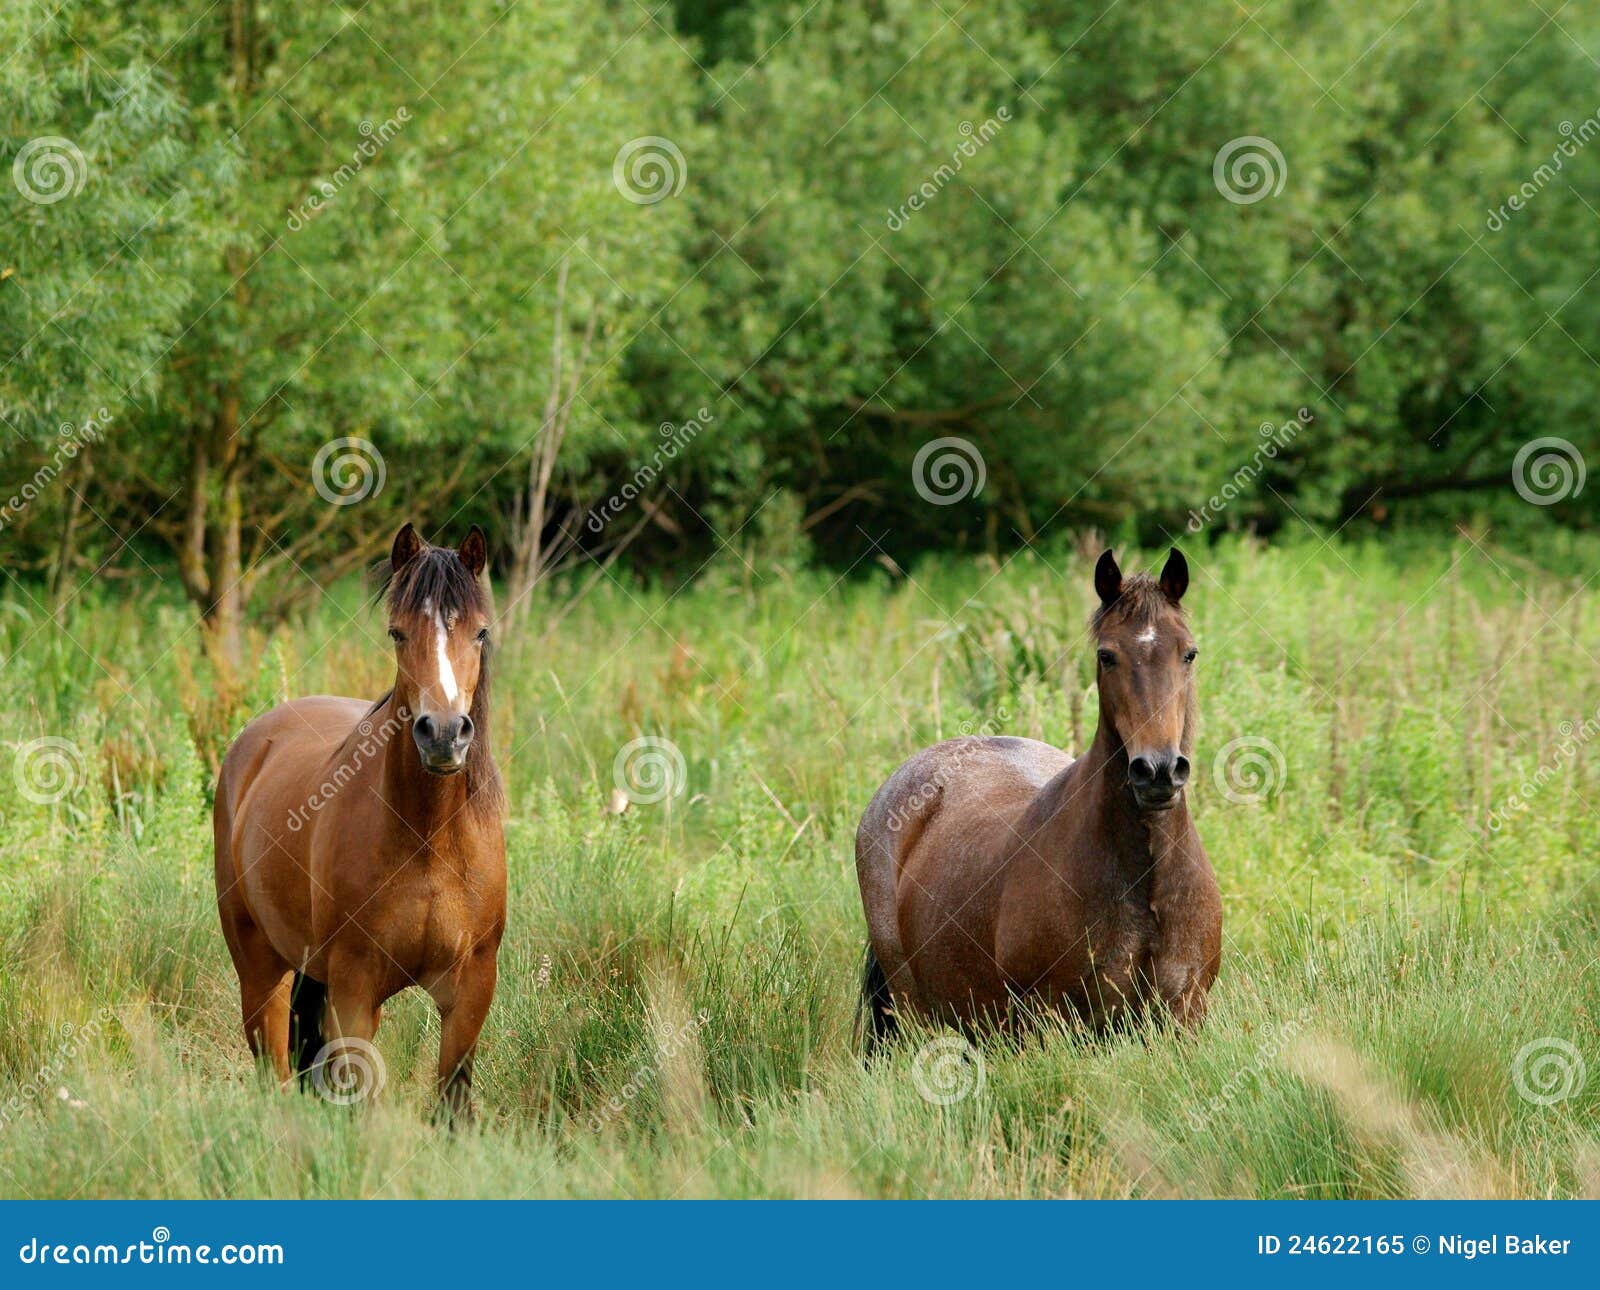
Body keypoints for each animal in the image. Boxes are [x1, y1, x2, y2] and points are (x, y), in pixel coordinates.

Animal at [213, 522, 506, 1121]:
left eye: (481, 633)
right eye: (397, 633)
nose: (443, 734)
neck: (429, 841)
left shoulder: (471, 990)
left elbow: (451, 1101)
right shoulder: (354, 988)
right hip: (259, 969)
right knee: (274, 1070)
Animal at [855, 548, 1220, 1040]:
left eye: (1189, 653)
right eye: (1107, 656)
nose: (1158, 771)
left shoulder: (1184, 1014)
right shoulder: (1052, 1022)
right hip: (916, 1013)